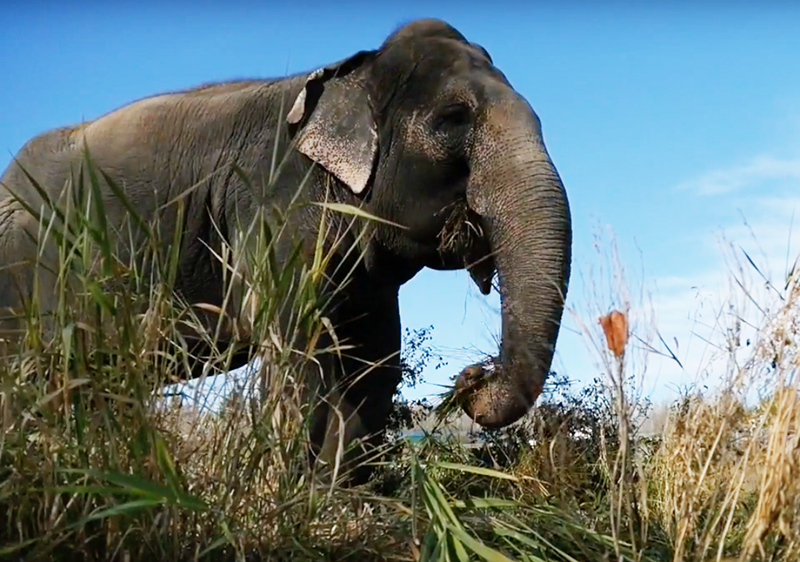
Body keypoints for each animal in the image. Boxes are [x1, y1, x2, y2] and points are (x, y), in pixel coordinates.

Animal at [0, 18, 572, 484]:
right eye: (452, 119)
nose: (472, 375)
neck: (353, 71)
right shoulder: (273, 201)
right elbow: (301, 345)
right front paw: (296, 492)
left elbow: (374, 362)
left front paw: (337, 498)